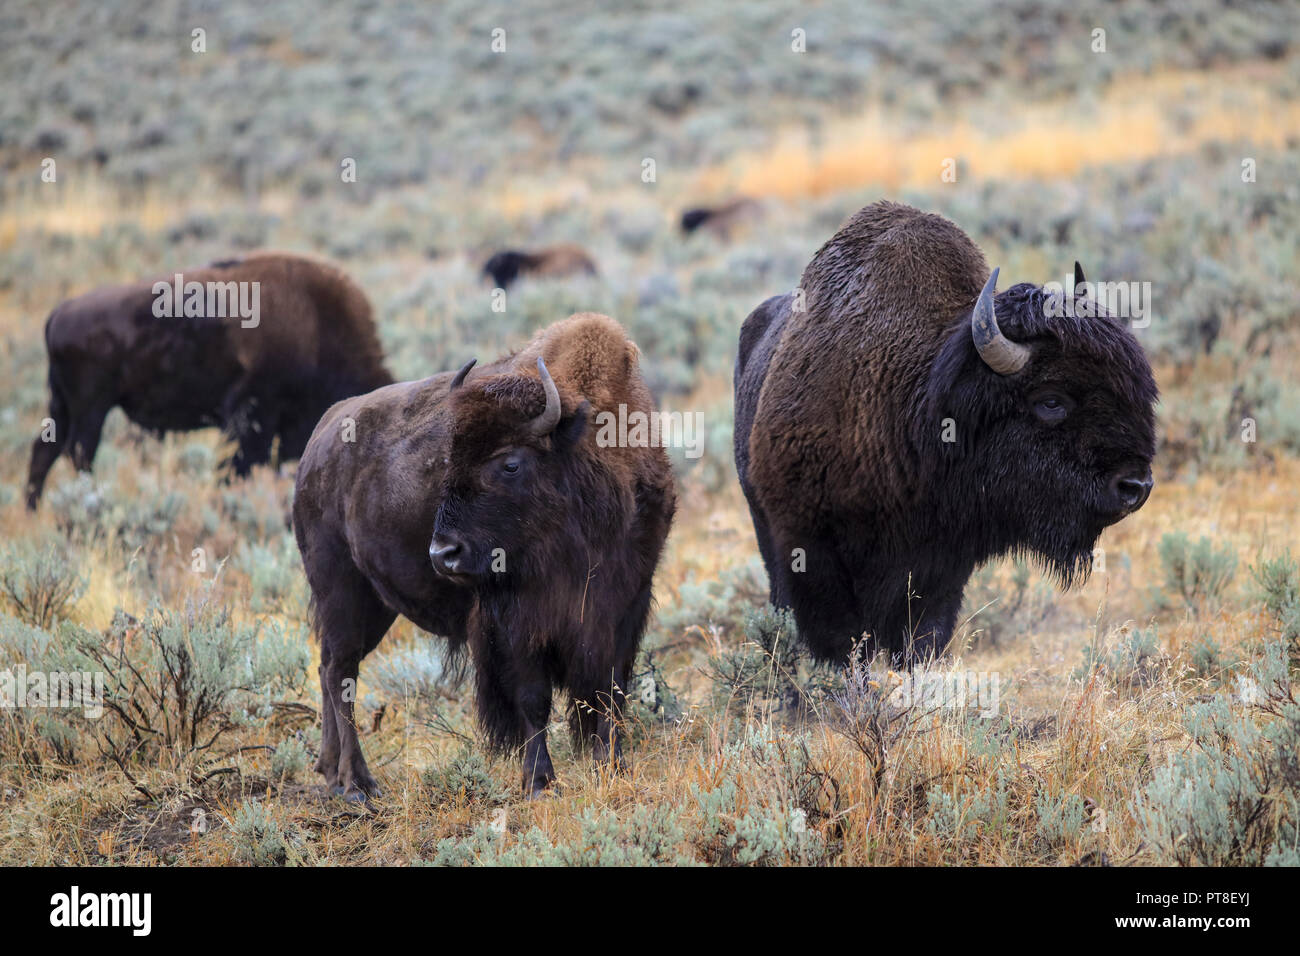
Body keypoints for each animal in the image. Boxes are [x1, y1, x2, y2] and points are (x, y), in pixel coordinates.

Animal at [25, 252, 392, 508]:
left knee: (45, 451)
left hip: (63, 406)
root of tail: (60, 312)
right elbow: (235, 467)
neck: (317, 325)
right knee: (79, 452)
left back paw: (35, 510)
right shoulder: (251, 415)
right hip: (92, 408)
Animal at [292, 313, 675, 799]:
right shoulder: (512, 621)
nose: (443, 554)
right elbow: (533, 699)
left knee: (331, 668)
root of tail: (318, 440)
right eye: (447, 460)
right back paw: (358, 782)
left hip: (375, 606)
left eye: (510, 463)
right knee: (341, 671)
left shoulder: (625, 605)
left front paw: (613, 767)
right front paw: (539, 781)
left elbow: (611, 691)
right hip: (341, 591)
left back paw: (329, 771)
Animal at [734, 200, 1157, 663]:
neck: (916, 400)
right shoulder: (812, 554)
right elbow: (843, 646)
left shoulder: (943, 568)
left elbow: (922, 640)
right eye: (1050, 400)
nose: (1135, 486)